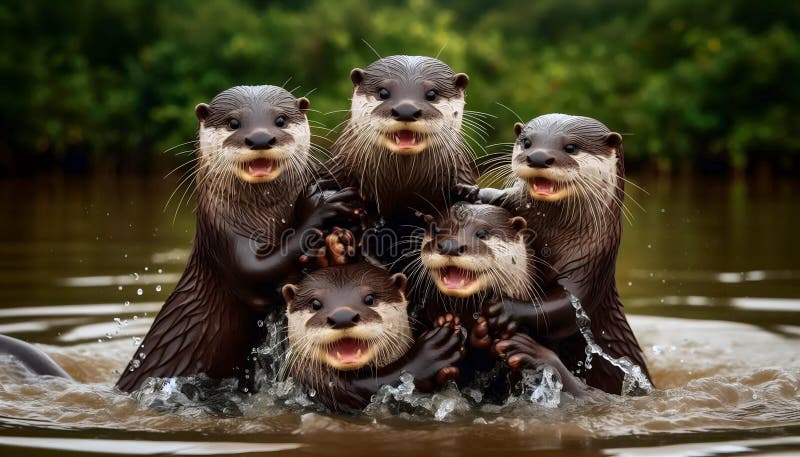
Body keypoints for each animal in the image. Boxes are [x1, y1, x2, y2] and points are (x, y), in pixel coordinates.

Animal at [117, 86, 360, 392]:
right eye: (233, 122)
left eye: (280, 120)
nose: (260, 138)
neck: (265, 219)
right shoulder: (223, 236)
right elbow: (255, 272)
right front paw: (320, 208)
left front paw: (337, 245)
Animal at [478, 114, 652, 395]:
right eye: (527, 142)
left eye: (570, 147)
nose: (538, 157)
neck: (549, 237)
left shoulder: (591, 262)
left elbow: (565, 308)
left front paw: (503, 309)